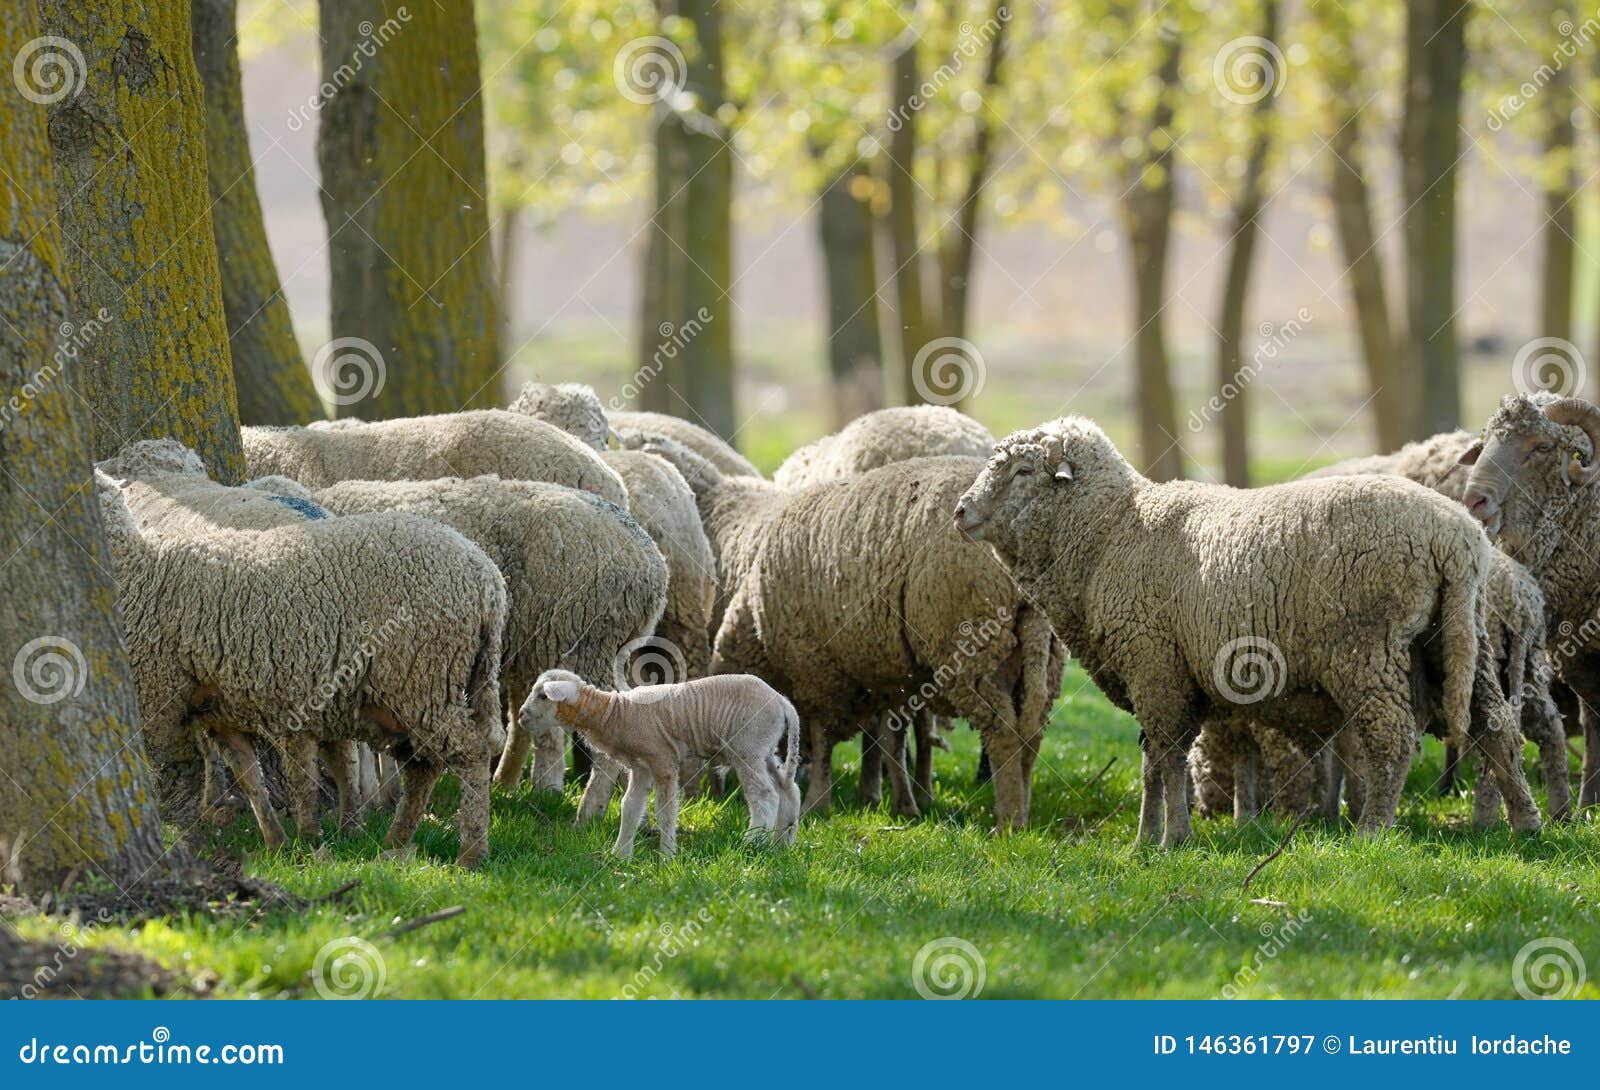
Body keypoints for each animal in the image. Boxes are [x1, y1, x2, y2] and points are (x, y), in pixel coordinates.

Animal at [95, 471, 506, 866]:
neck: (137, 568)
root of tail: (487, 577)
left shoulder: (153, 701)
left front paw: (306, 840)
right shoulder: (220, 710)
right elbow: (250, 777)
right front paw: (277, 841)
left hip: (422, 677)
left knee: (470, 753)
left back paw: (471, 853)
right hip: (415, 689)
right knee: (424, 766)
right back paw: (396, 840)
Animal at [518, 669, 801, 858]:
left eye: (543, 696)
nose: (521, 715)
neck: (615, 713)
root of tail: (781, 701)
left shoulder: (662, 760)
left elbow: (665, 811)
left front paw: (667, 855)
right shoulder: (641, 767)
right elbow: (630, 808)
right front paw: (620, 854)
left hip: (747, 745)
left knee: (764, 794)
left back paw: (752, 842)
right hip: (765, 748)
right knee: (789, 790)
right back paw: (783, 842)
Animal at [954, 417, 1542, 844]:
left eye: (1023, 472)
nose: (961, 512)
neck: (1111, 533)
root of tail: (1458, 538)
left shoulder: (1153, 663)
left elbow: (1166, 757)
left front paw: (1171, 839)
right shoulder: (1165, 673)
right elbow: (1153, 762)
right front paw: (1145, 840)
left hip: (1367, 650)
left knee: (1393, 736)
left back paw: (1373, 832)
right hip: (1458, 640)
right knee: (1496, 727)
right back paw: (1526, 825)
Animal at [1461, 394, 1600, 811]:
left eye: (1541, 448)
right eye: (1485, 443)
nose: (1474, 500)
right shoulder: (1579, 656)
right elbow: (1593, 722)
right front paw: (1588, 806)